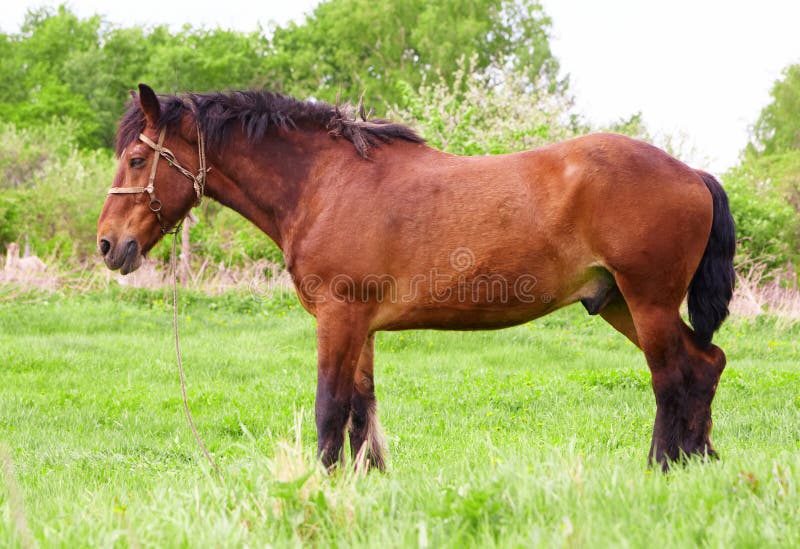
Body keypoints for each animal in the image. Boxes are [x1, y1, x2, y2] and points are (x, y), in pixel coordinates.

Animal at [97, 84, 735, 472]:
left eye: (136, 158)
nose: (108, 245)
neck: (324, 183)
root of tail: (692, 174)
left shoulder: (340, 316)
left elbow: (330, 407)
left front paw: (322, 484)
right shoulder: (360, 326)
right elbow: (361, 409)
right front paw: (365, 479)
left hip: (647, 302)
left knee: (672, 378)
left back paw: (662, 466)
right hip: (617, 302)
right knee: (705, 365)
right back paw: (697, 461)